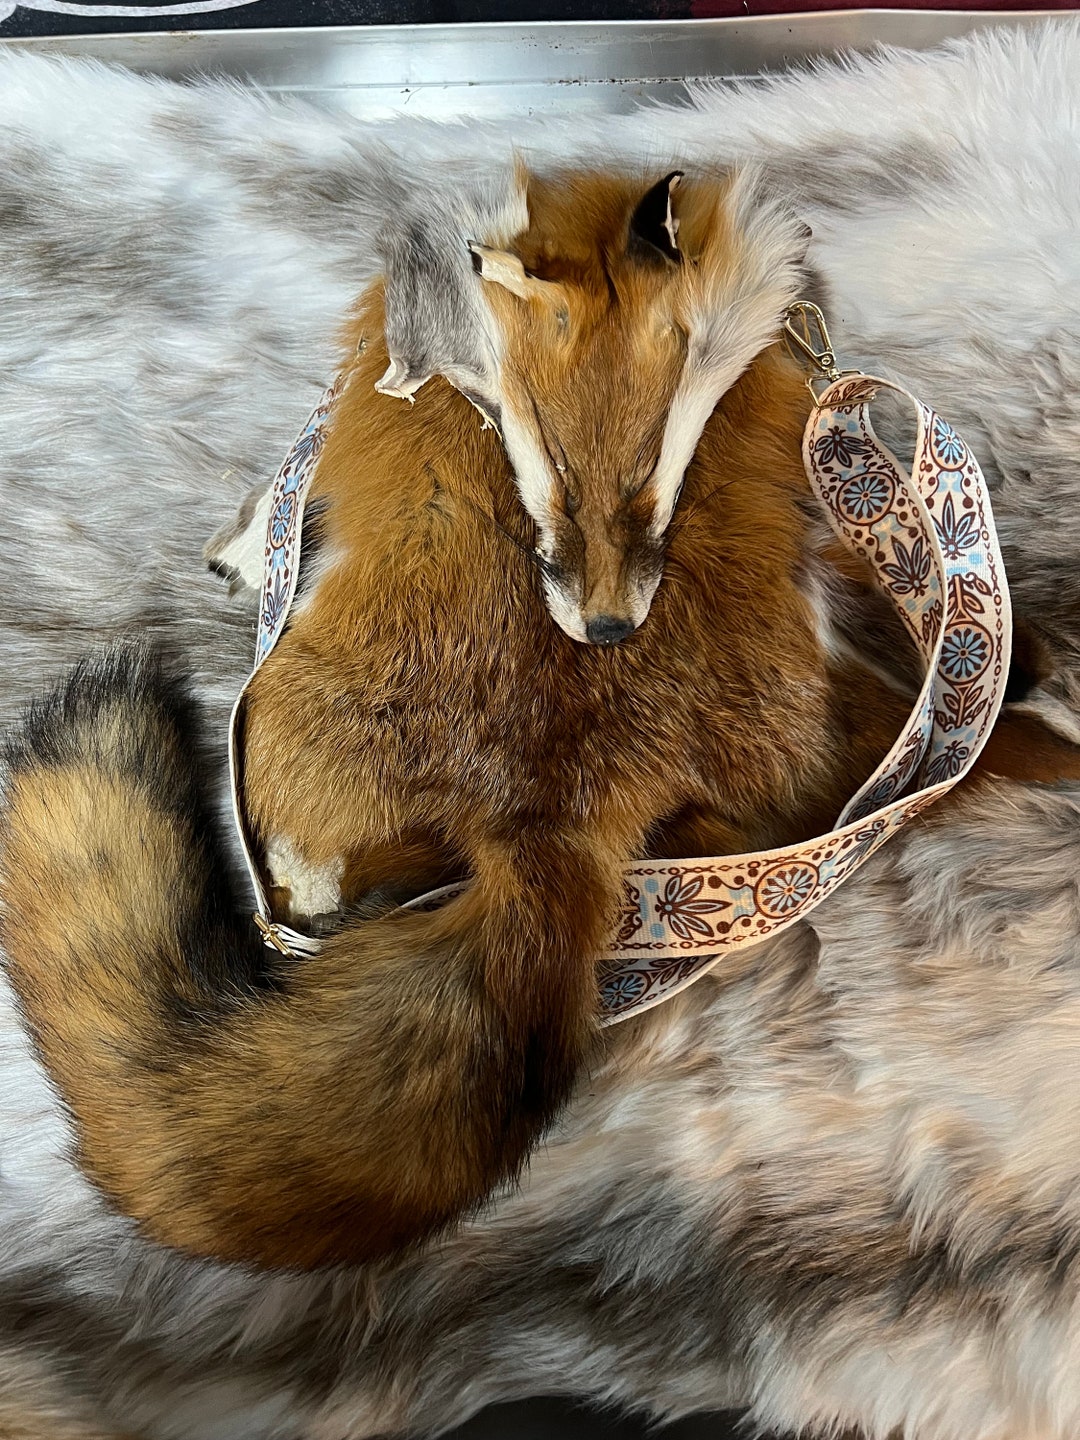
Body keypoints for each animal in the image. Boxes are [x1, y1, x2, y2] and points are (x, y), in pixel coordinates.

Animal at [2, 166, 1073, 1277]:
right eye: (550, 477)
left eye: (648, 483)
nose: (604, 628)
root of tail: (543, 813)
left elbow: (287, 486)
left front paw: (250, 538)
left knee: (295, 898)